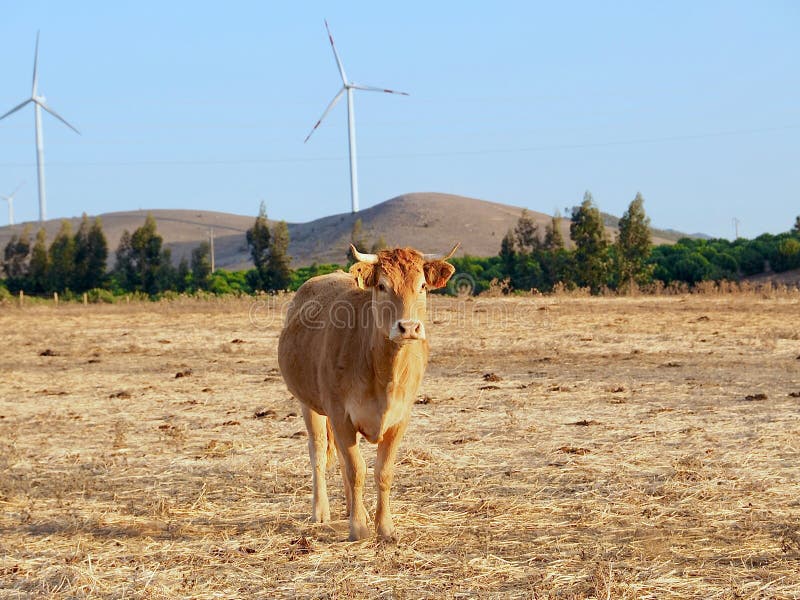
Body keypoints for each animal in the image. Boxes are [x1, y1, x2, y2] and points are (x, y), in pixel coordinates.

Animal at [277, 243, 458, 541]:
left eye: (422, 285)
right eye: (382, 286)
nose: (408, 327)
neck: (382, 372)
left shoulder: (400, 419)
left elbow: (382, 472)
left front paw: (384, 527)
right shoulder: (340, 415)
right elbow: (356, 469)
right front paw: (359, 528)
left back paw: (352, 507)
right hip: (310, 405)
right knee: (318, 453)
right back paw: (322, 511)